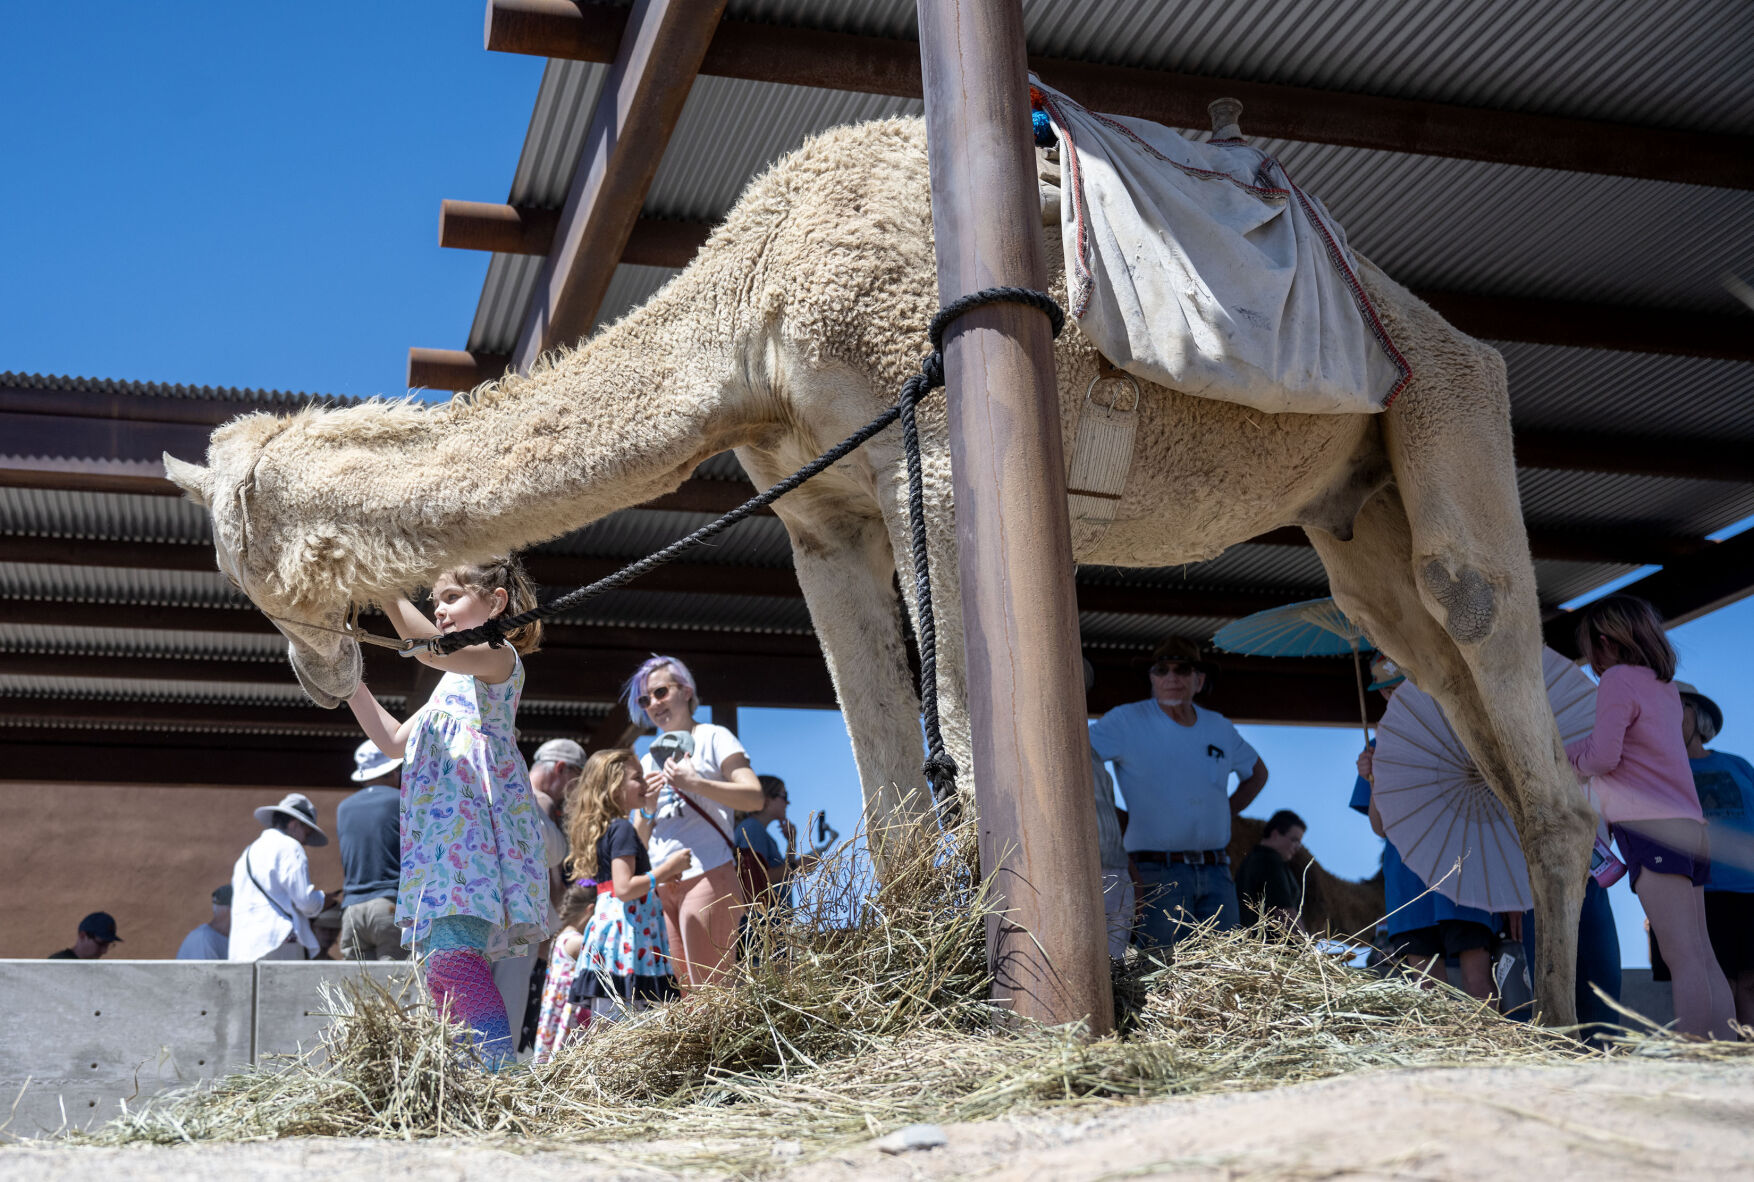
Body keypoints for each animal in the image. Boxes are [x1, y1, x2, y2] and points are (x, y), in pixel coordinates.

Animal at [162, 116, 1595, 1025]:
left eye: (240, 551)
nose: (320, 672)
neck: (745, 307)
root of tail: (1442, 329)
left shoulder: (943, 454)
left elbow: (963, 728)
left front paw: (997, 991)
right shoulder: (822, 508)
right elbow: (888, 765)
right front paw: (907, 985)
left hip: (1449, 409)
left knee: (1488, 624)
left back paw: (1567, 1027)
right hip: (1351, 522)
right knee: (1439, 680)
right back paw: (1529, 1010)